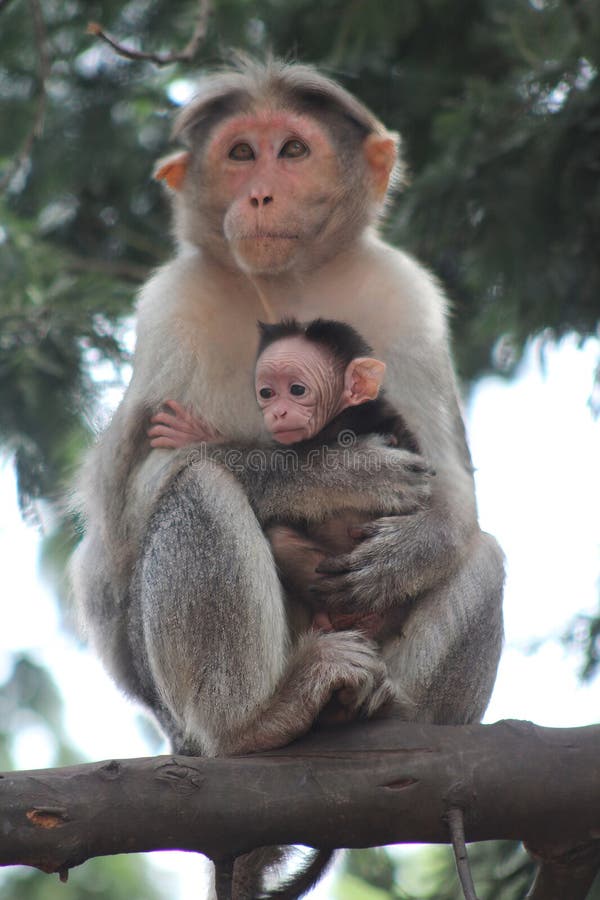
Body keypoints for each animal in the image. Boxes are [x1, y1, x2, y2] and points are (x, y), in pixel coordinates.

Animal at [71, 57, 505, 900]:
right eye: (241, 153)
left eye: (293, 151)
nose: (261, 193)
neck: (289, 281)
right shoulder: (173, 305)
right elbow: (133, 504)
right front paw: (336, 471)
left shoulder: (403, 295)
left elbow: (454, 495)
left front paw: (412, 545)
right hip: (182, 712)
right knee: (198, 491)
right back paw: (259, 721)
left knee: (487, 555)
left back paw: (389, 729)